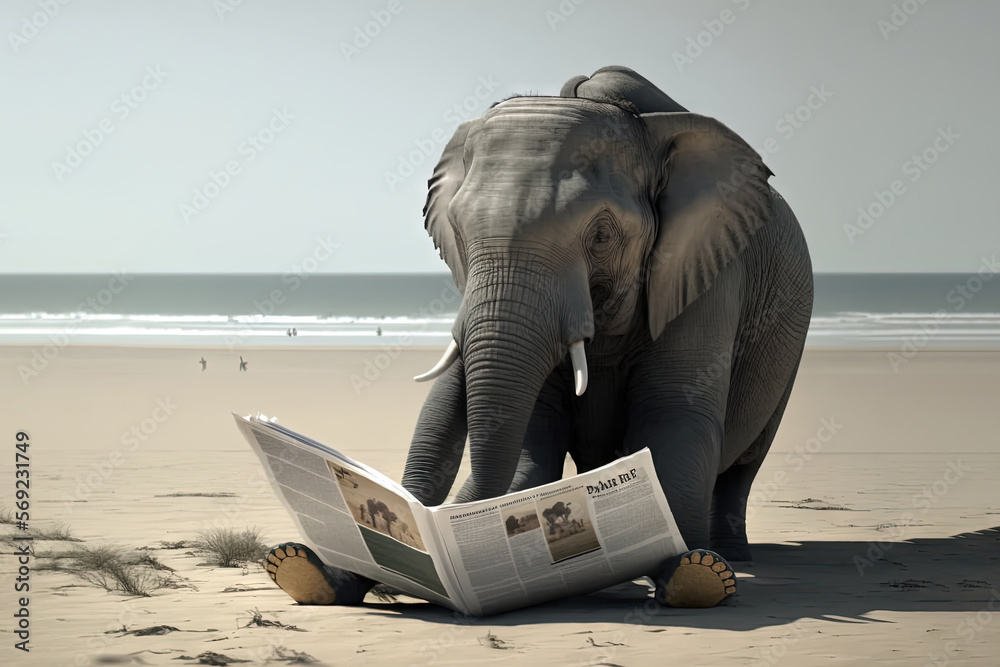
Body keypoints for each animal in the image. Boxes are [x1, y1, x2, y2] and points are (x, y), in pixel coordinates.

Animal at [265, 65, 813, 611]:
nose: (348, 575)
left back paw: (729, 557)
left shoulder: (706, 270)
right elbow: (534, 444)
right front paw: (305, 570)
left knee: (744, 465)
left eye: (601, 236)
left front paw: (692, 575)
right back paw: (296, 568)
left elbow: (674, 415)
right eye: (458, 230)